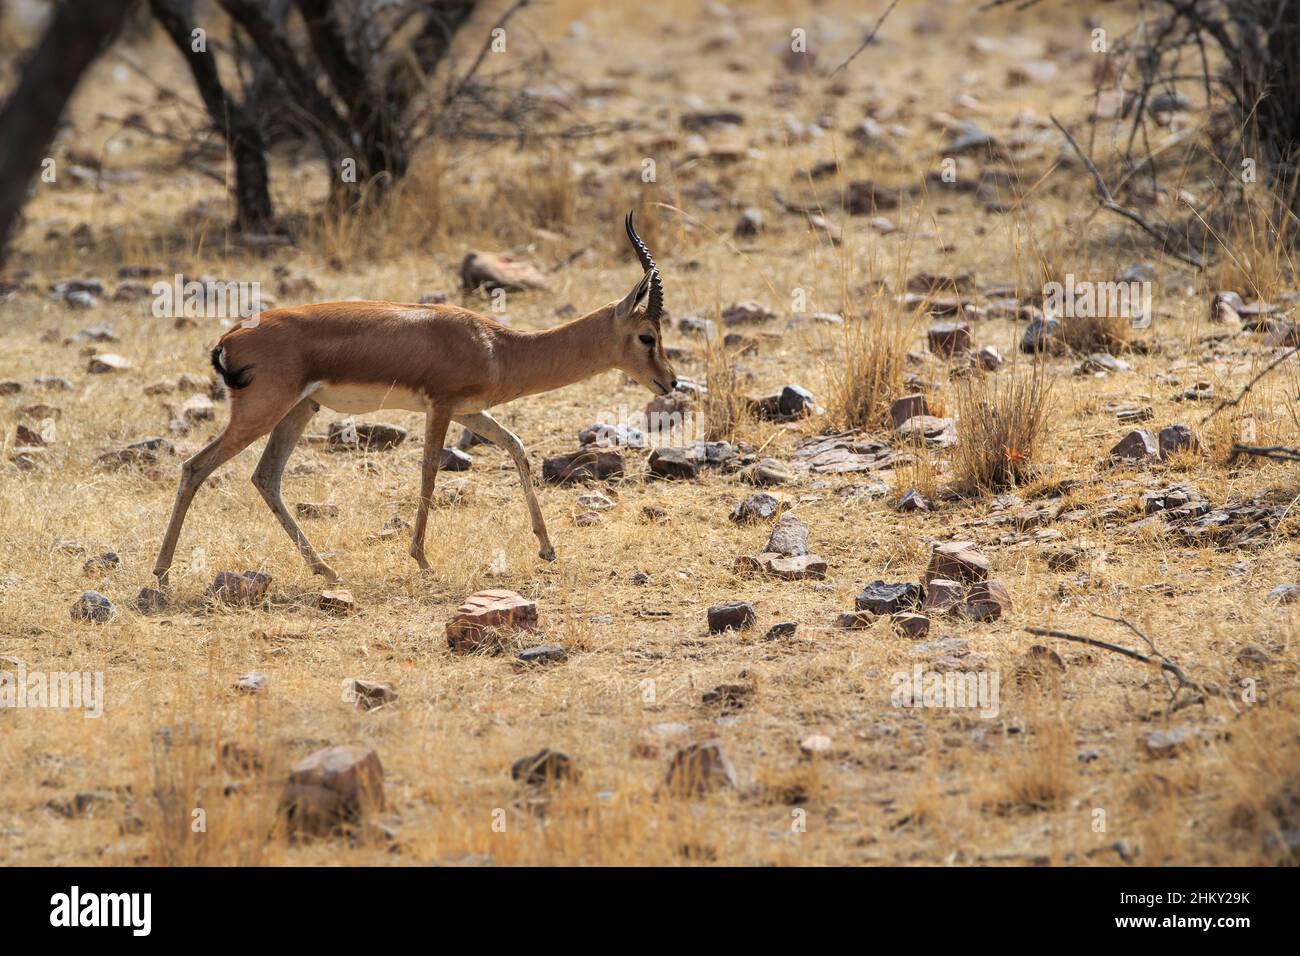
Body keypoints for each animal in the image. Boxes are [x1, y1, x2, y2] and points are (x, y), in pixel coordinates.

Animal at [152, 211, 677, 587]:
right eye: (647, 336)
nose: (670, 382)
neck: (497, 346)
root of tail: (230, 337)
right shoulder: (441, 406)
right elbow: (428, 472)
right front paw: (421, 559)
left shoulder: (471, 410)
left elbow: (517, 448)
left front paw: (546, 548)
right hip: (262, 412)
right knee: (195, 467)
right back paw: (161, 571)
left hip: (299, 410)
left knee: (265, 477)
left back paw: (325, 569)